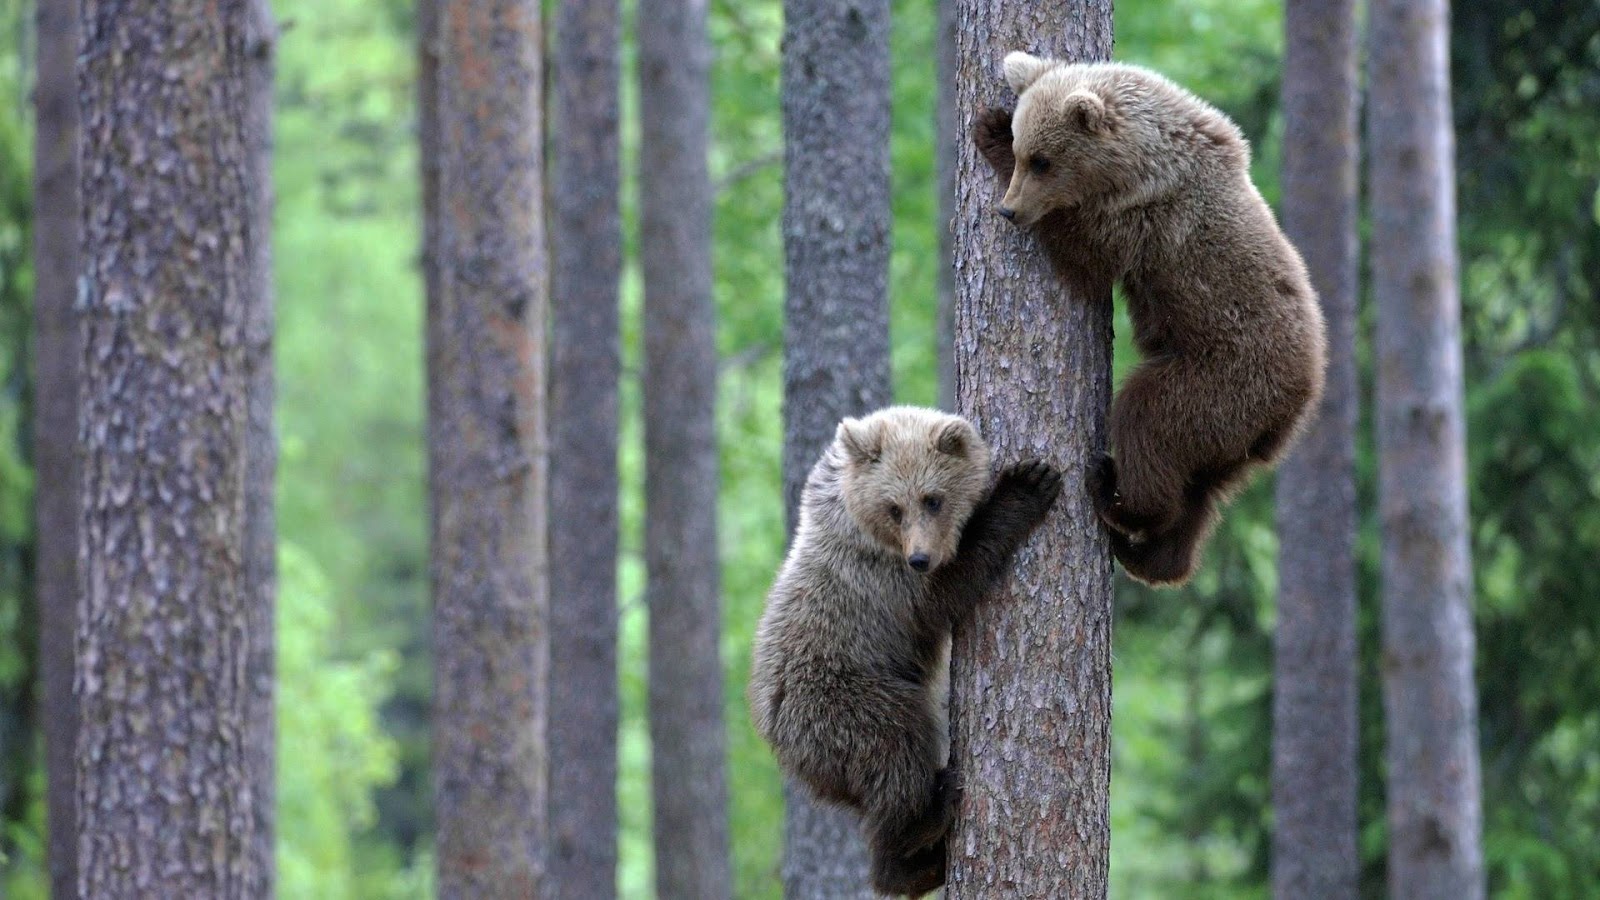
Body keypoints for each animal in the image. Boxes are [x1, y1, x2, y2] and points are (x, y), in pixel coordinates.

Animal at [748, 406, 1063, 897]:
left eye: (932, 498)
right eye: (894, 507)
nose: (920, 557)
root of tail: (775, 734)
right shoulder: (884, 583)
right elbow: (950, 587)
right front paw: (1026, 484)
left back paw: (922, 863)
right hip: (842, 700)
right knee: (897, 744)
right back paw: (925, 821)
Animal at [972, 53, 1327, 587]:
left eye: (1041, 160)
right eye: (1025, 151)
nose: (1009, 210)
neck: (1141, 160)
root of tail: (1298, 402)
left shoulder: (1144, 222)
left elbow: (1085, 260)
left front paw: (987, 129)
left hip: (1221, 380)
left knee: (1148, 421)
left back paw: (1114, 494)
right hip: (1233, 437)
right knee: (1201, 492)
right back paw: (1152, 555)